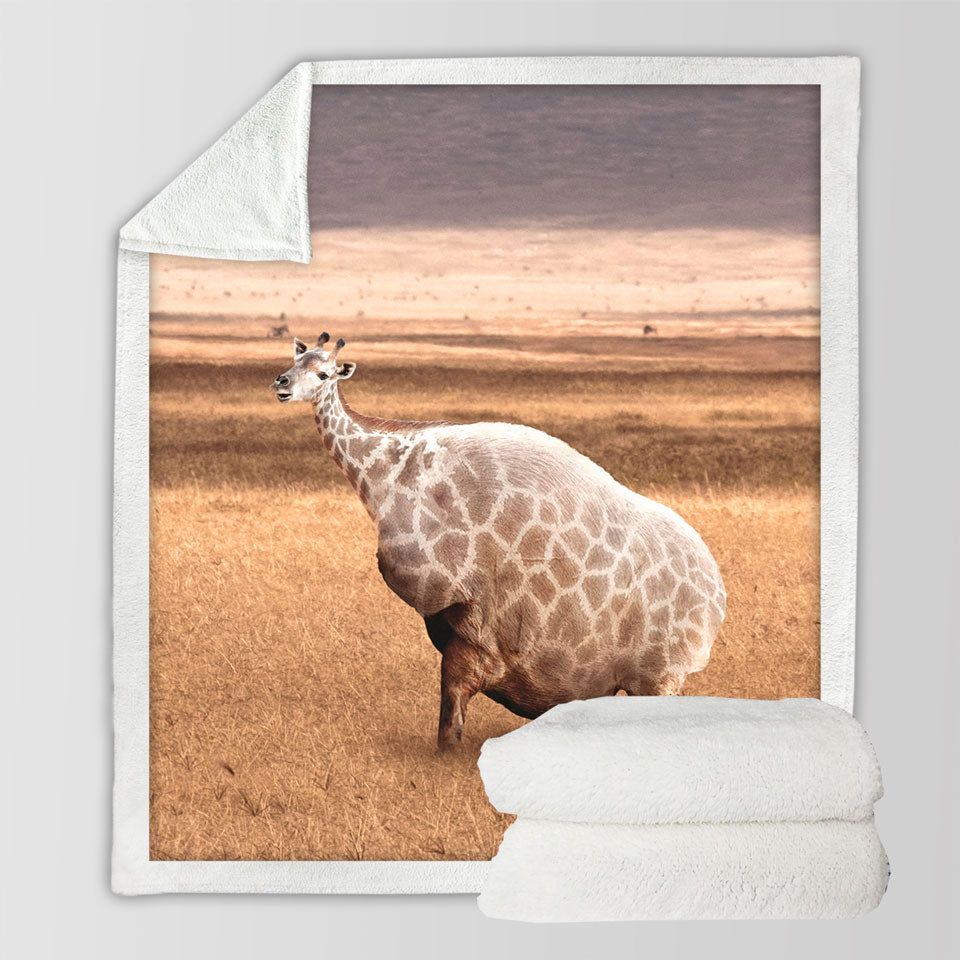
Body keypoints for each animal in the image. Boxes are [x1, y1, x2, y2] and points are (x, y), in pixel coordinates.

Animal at [272, 334, 726, 751]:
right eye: (295, 359)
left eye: (325, 374)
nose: (281, 383)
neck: (391, 478)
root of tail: (716, 593)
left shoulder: (458, 606)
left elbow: (450, 725)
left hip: (659, 674)